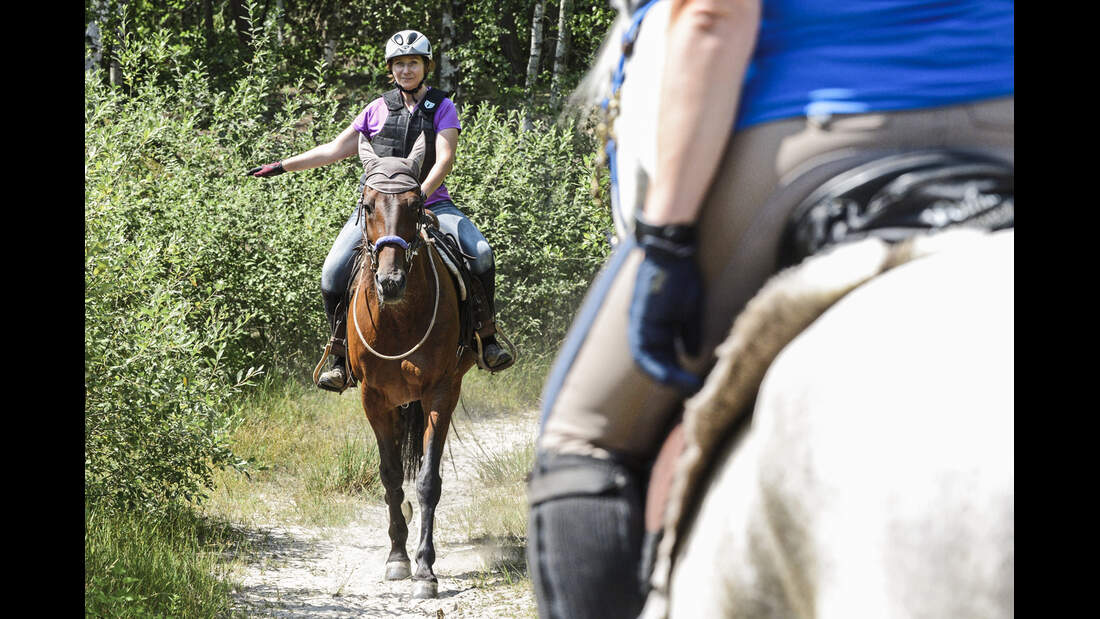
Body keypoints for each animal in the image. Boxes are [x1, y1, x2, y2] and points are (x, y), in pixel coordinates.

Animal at [346, 131, 478, 599]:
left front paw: (424, 569)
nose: (390, 282)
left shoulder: (441, 392)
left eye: (416, 204)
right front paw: (397, 558)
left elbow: (426, 481)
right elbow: (389, 476)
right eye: (368, 205)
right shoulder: (373, 398)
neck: (399, 319)